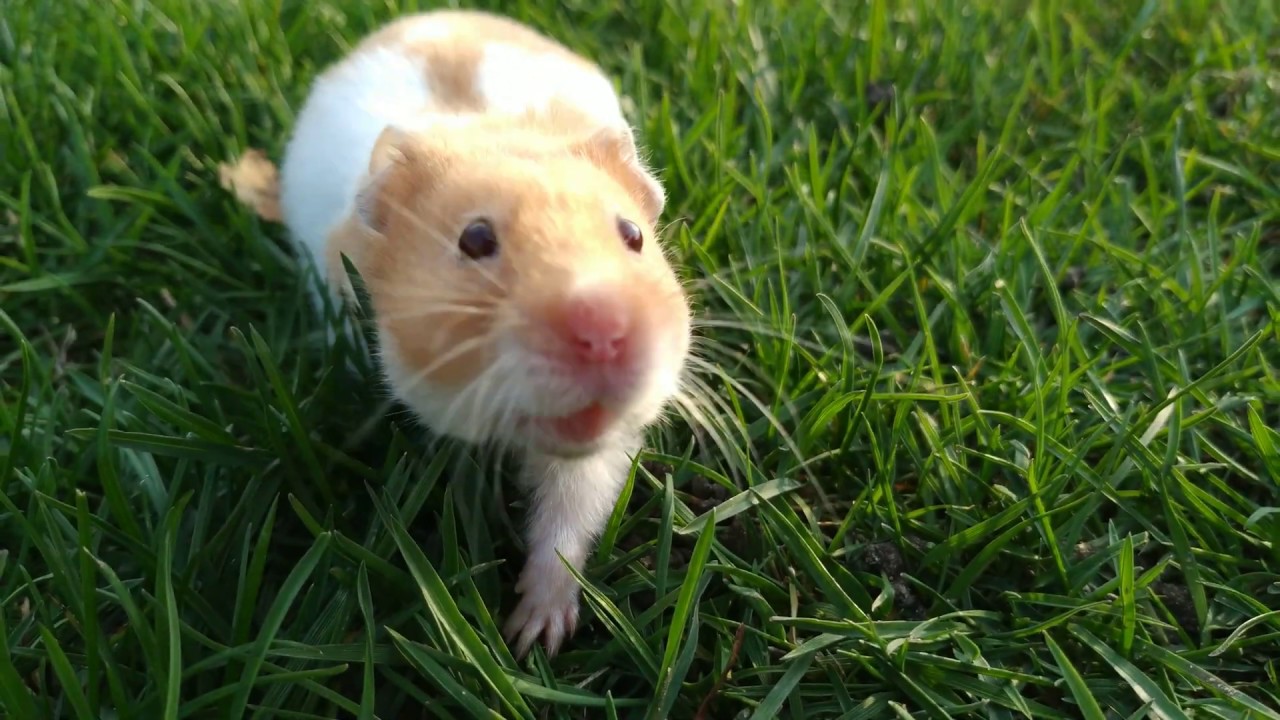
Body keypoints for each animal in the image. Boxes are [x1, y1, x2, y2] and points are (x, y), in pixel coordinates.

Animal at [276, 10, 692, 657]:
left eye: (634, 235)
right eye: (474, 240)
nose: (606, 334)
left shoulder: (598, 454)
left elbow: (570, 520)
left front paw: (535, 637)